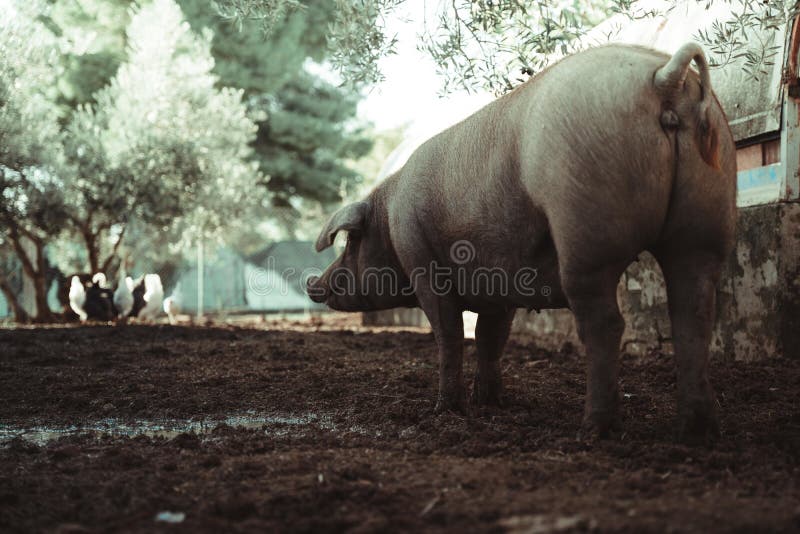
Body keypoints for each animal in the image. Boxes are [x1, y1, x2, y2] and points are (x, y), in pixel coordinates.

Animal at [308, 43, 736, 442]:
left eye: (350, 243)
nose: (314, 282)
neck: (389, 218)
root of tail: (665, 77)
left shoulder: (423, 265)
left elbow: (450, 336)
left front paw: (445, 410)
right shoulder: (500, 285)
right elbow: (489, 339)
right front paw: (491, 403)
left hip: (586, 227)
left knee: (606, 323)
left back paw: (593, 432)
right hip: (706, 221)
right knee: (693, 316)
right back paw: (698, 433)